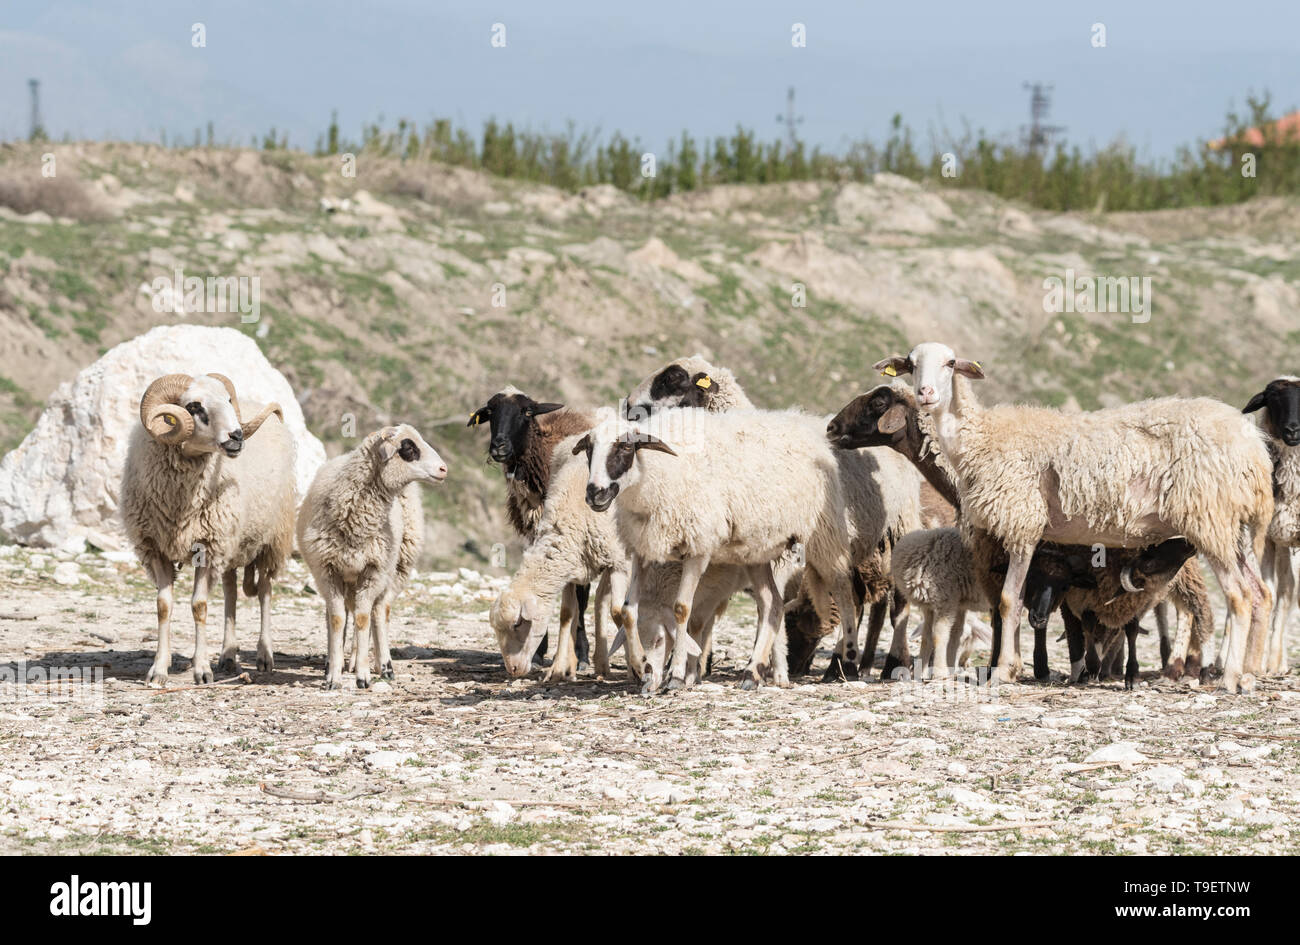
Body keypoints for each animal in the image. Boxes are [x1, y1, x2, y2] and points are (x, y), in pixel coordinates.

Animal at [120, 372, 294, 686]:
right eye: (194, 407)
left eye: (227, 399)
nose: (237, 437)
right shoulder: (156, 548)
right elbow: (163, 606)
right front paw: (158, 669)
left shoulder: (208, 548)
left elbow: (199, 606)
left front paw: (201, 670)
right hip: (232, 543)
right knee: (231, 592)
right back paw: (228, 654)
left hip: (273, 539)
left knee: (265, 591)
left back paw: (264, 655)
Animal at [297, 425, 447, 689]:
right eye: (408, 447)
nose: (444, 469)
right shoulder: (327, 570)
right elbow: (337, 619)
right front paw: (333, 675)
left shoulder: (373, 570)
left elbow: (363, 618)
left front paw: (363, 675)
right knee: (347, 614)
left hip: (396, 567)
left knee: (379, 611)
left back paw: (383, 665)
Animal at [468, 387, 596, 669]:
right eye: (490, 412)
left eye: (526, 412)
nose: (499, 446)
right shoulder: (532, 530)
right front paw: (537, 652)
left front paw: (581, 654)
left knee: (582, 594)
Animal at [574, 407, 857, 690]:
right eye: (588, 450)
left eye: (625, 447)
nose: (595, 493)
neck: (656, 472)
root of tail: (802, 422)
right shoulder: (644, 550)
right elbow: (627, 612)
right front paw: (640, 665)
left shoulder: (697, 547)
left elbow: (681, 610)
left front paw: (676, 675)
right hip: (756, 550)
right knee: (772, 603)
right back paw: (752, 673)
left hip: (824, 533)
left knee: (844, 592)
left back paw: (849, 662)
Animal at [875, 341, 1274, 692]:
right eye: (910, 364)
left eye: (950, 362)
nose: (926, 393)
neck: (980, 438)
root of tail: (1254, 449)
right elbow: (1018, 602)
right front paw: (1015, 667)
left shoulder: (1021, 522)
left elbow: (1007, 601)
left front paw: (1004, 670)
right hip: (1233, 526)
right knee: (1261, 594)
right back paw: (1251, 674)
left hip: (1210, 518)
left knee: (1239, 597)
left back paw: (1229, 679)